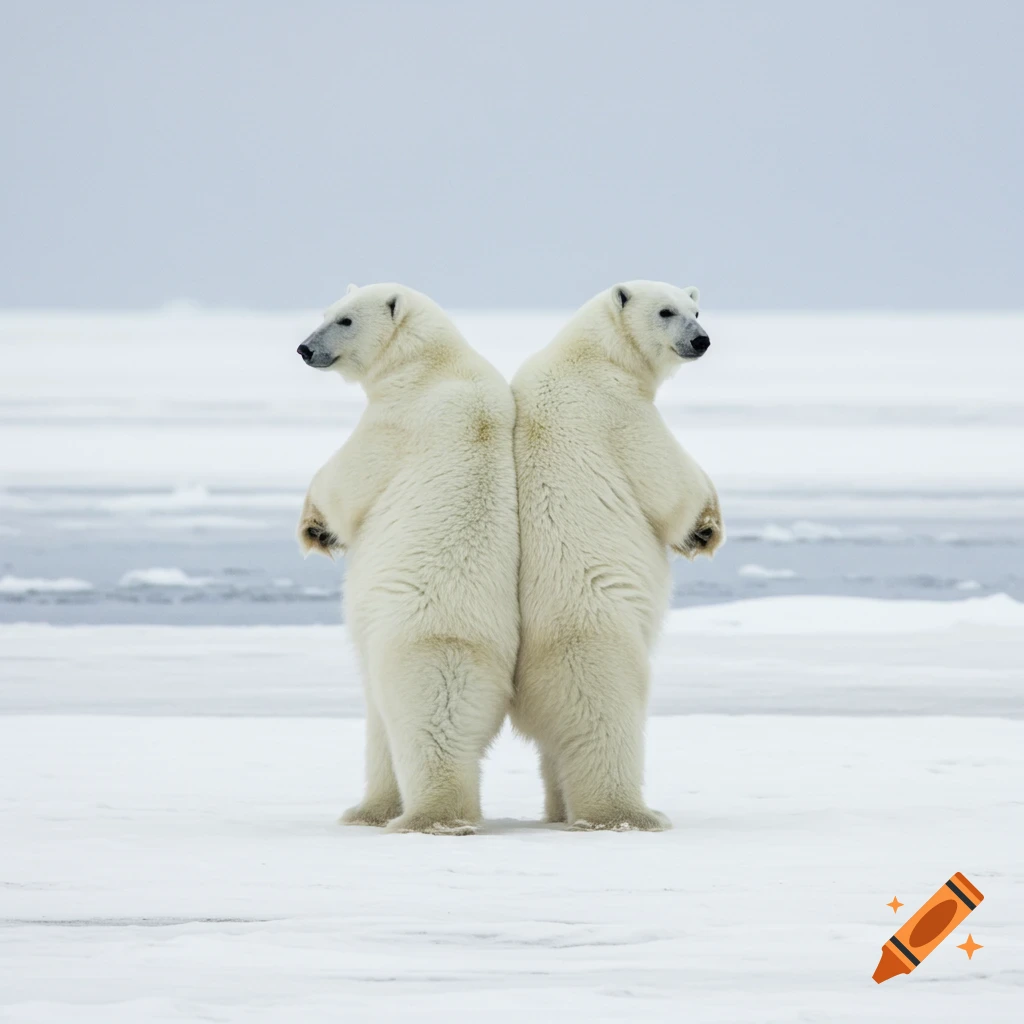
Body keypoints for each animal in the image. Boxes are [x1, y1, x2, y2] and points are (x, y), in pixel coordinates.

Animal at [296, 282, 519, 835]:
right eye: (327, 313)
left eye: (345, 320)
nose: (305, 349)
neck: (433, 361)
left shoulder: (395, 418)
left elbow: (348, 480)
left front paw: (316, 528)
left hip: (414, 650)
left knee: (424, 729)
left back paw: (417, 816)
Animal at [509, 280, 724, 831]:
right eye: (666, 311)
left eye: (697, 310)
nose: (701, 341)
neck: (592, 351)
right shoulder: (619, 408)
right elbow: (666, 480)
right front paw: (705, 528)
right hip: (595, 642)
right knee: (605, 724)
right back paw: (633, 813)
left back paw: (558, 811)